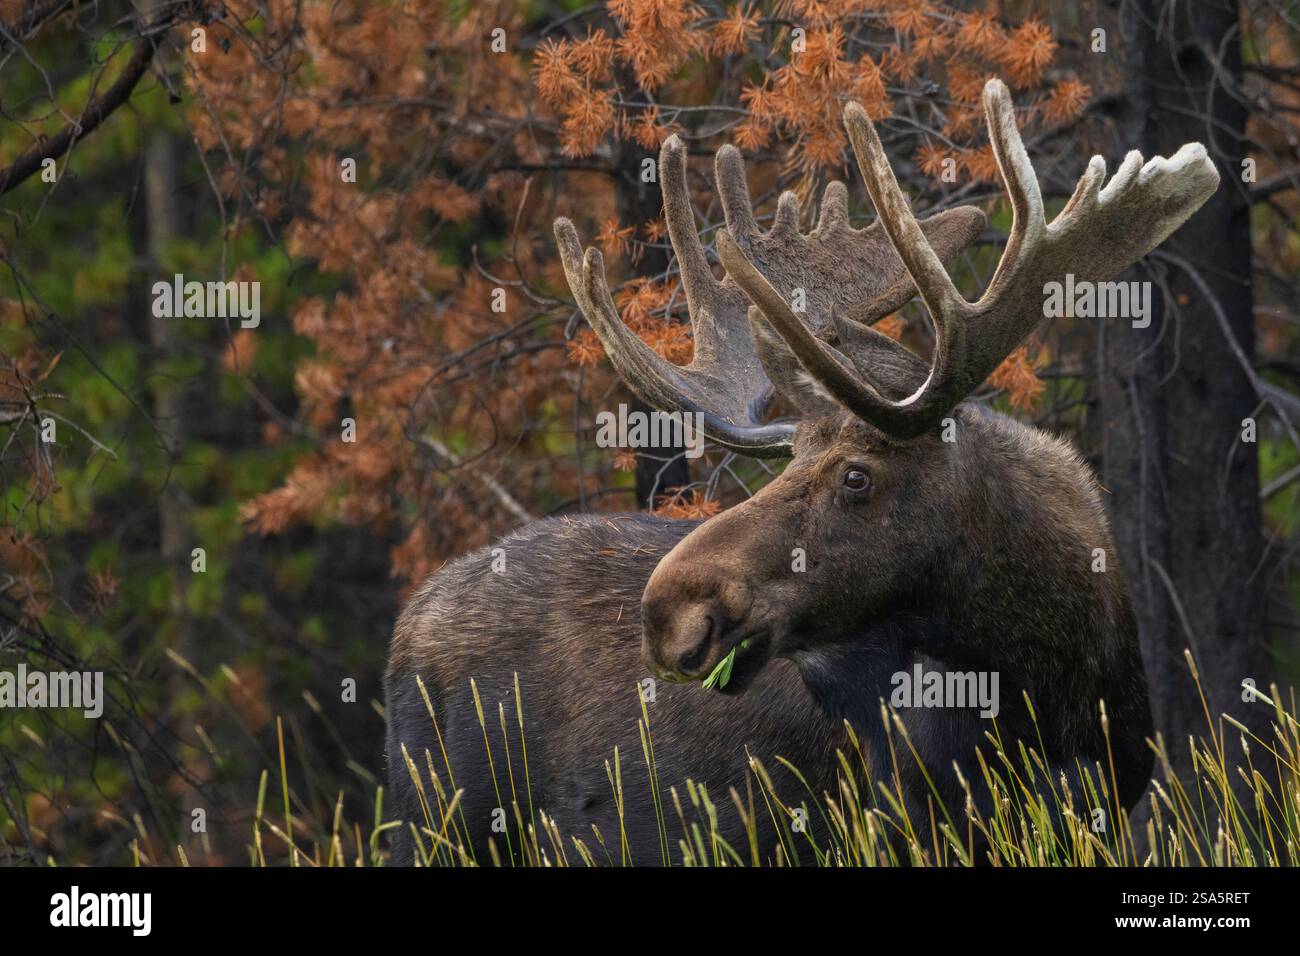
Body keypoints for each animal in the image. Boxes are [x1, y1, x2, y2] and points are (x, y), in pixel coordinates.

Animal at [384, 79, 1219, 866]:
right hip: (437, 822)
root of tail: (409, 621)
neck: (1055, 682)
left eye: (855, 476)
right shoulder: (901, 821)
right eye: (791, 460)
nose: (668, 613)